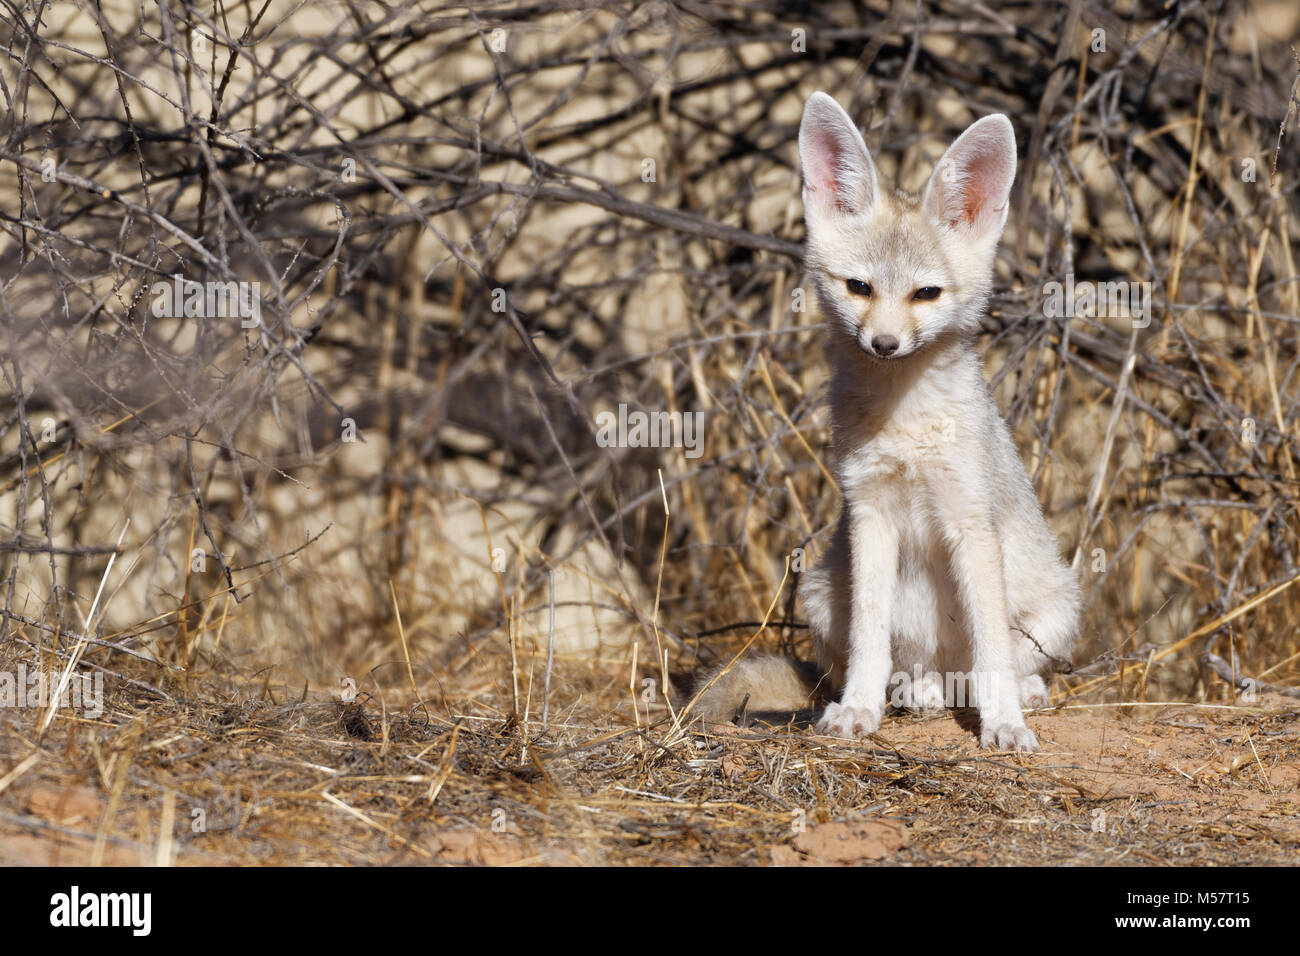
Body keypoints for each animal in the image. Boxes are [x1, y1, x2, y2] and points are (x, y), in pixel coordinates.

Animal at [693, 92, 1080, 752]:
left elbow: (993, 652)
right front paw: (857, 710)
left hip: (1056, 606)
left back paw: (1018, 694)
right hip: (824, 594)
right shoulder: (869, 513)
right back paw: (914, 694)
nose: (884, 344)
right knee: (908, 670)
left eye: (926, 294)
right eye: (859, 287)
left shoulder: (970, 522)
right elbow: (869, 642)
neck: (905, 427)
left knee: (995, 663)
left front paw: (1004, 722)